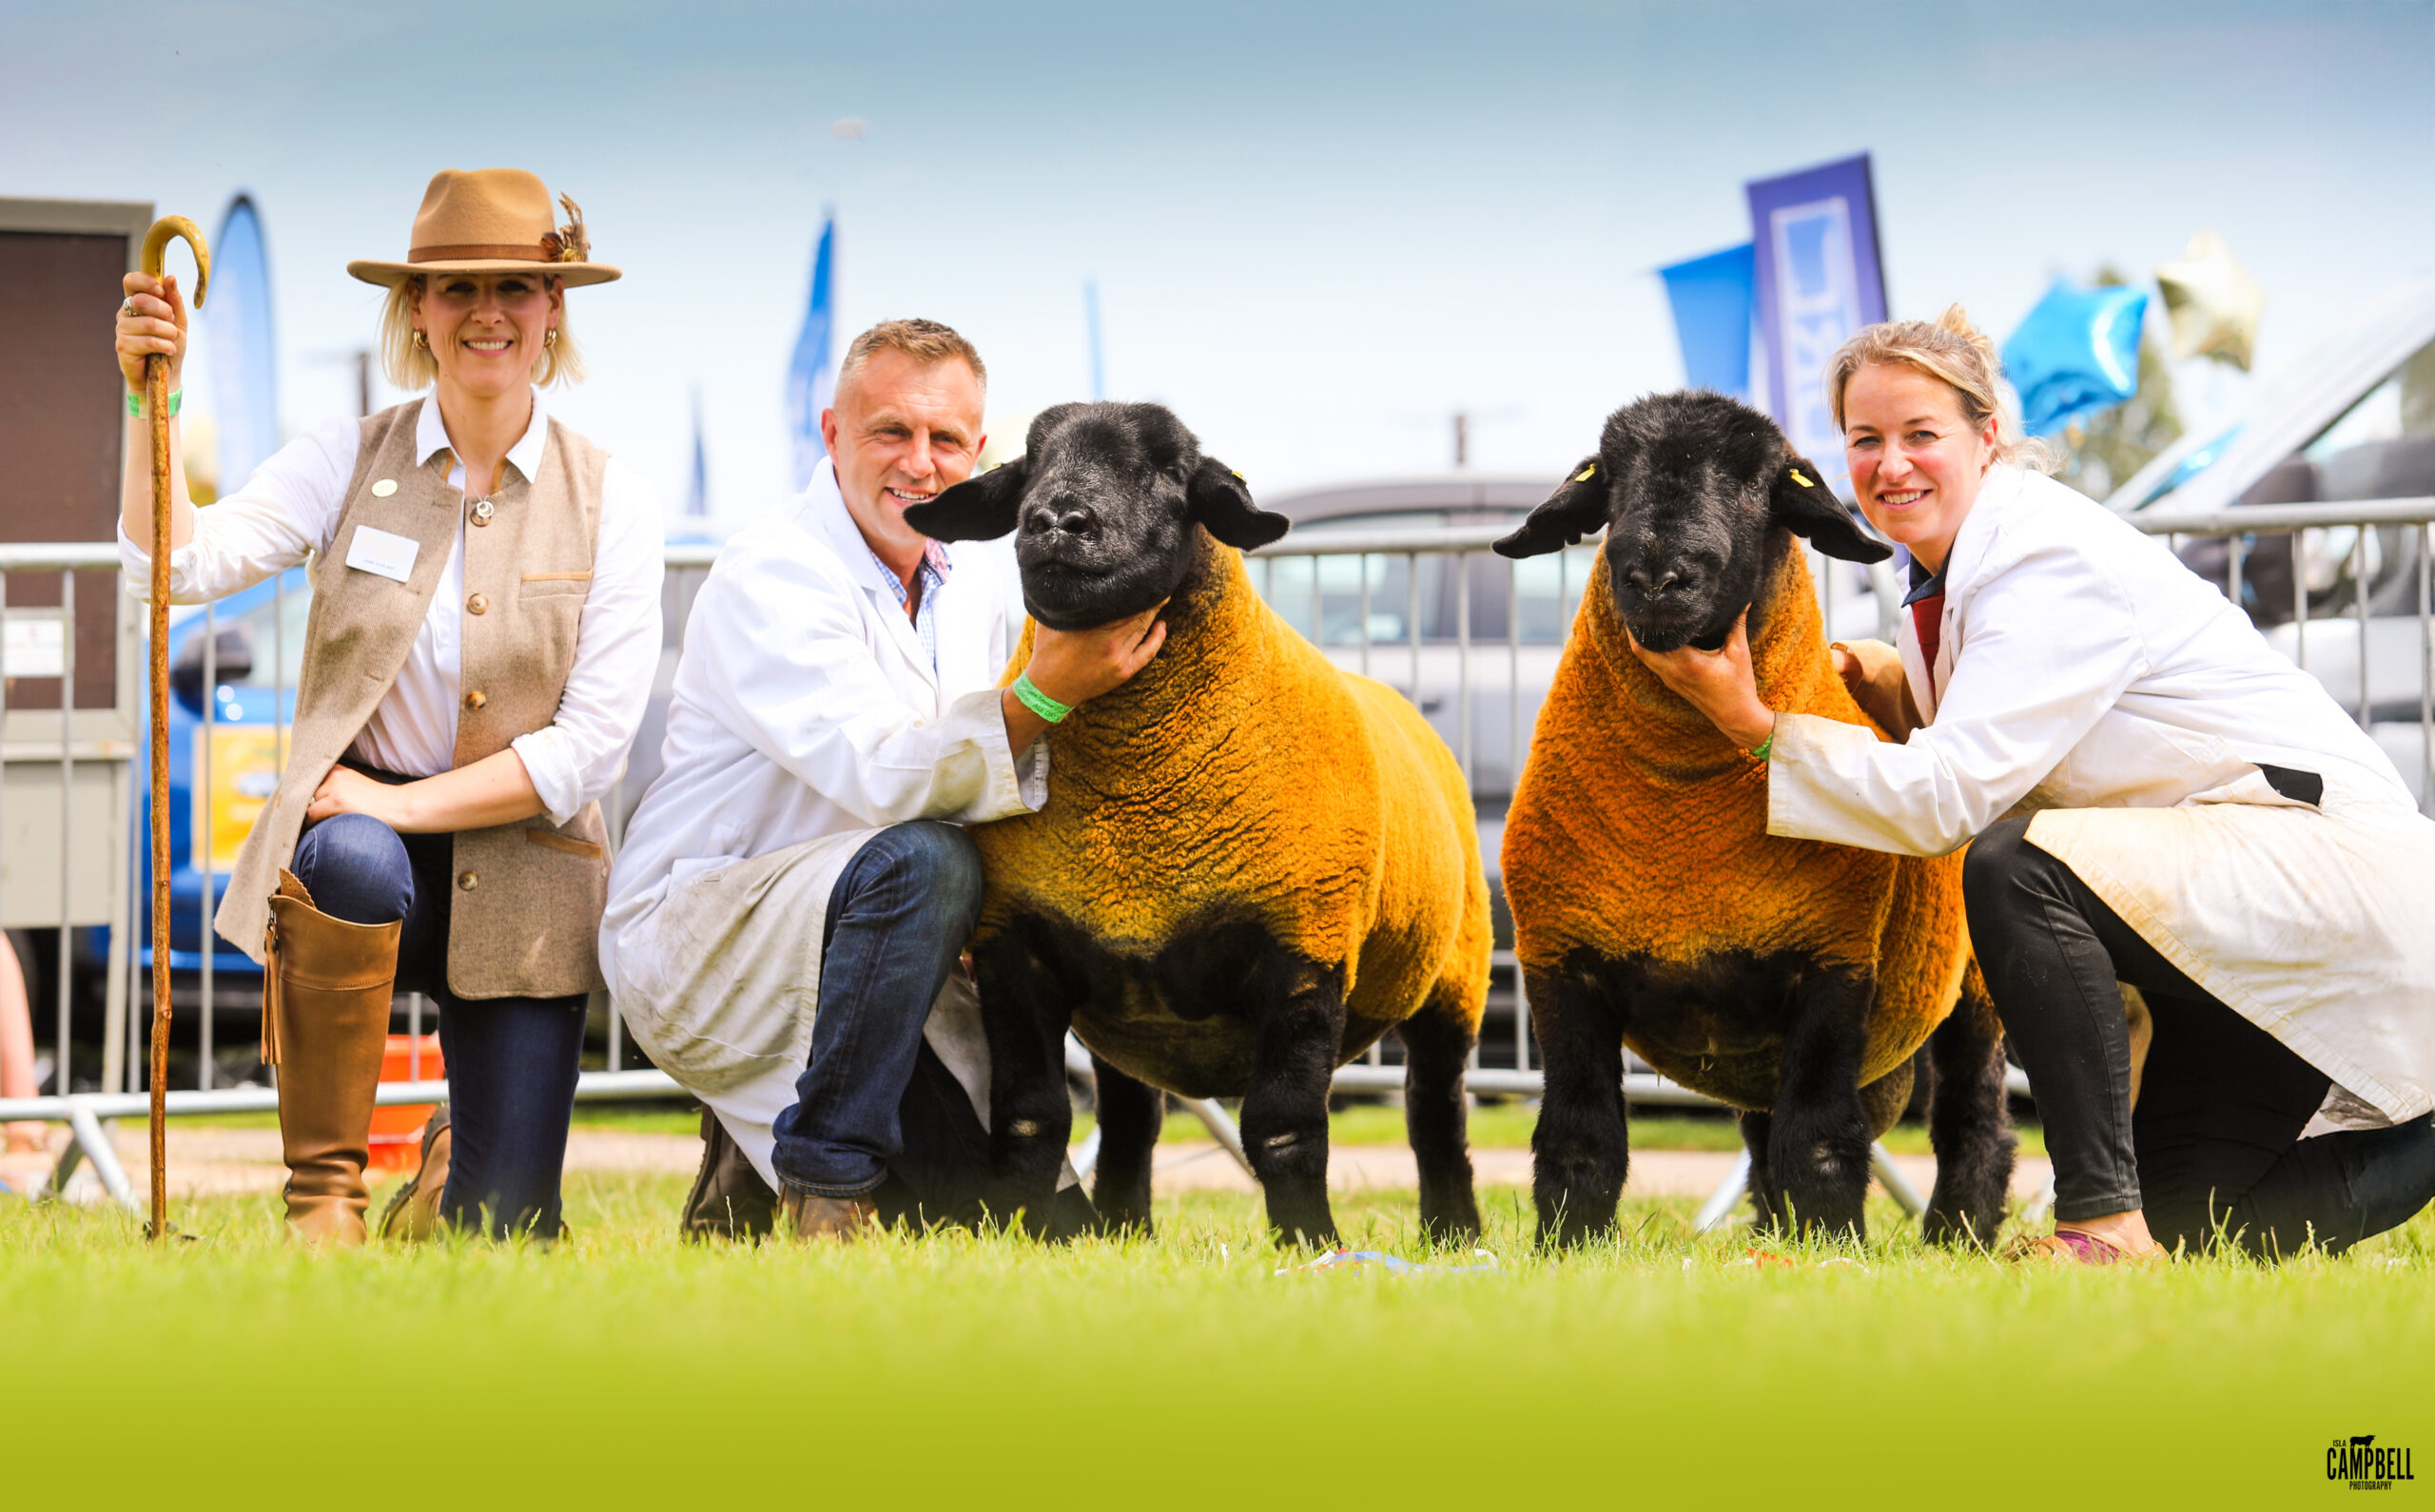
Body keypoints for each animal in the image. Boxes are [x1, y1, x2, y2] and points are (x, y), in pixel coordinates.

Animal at [904, 402, 1493, 1247]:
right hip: (1125, 1017)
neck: (1137, 798)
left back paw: (1454, 1233)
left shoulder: (1303, 945)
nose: (1056, 521)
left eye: (1171, 468)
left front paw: (1311, 1244)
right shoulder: (1016, 950)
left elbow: (1284, 1128)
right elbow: (1029, 1115)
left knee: (1437, 1110)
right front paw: (1022, 1234)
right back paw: (1123, 1231)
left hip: (1456, 974)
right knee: (1129, 1118)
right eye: (1032, 463)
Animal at [1493, 391, 2015, 1246]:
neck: (1680, 808)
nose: (1656, 575)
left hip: (1971, 988)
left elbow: (1822, 1140)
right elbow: (1580, 1134)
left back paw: (1957, 1236)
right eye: (1612, 479)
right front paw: (1569, 1247)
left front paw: (1837, 1249)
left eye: (1760, 480)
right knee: (1762, 1132)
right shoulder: (1560, 960)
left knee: (1975, 1119)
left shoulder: (1834, 963)